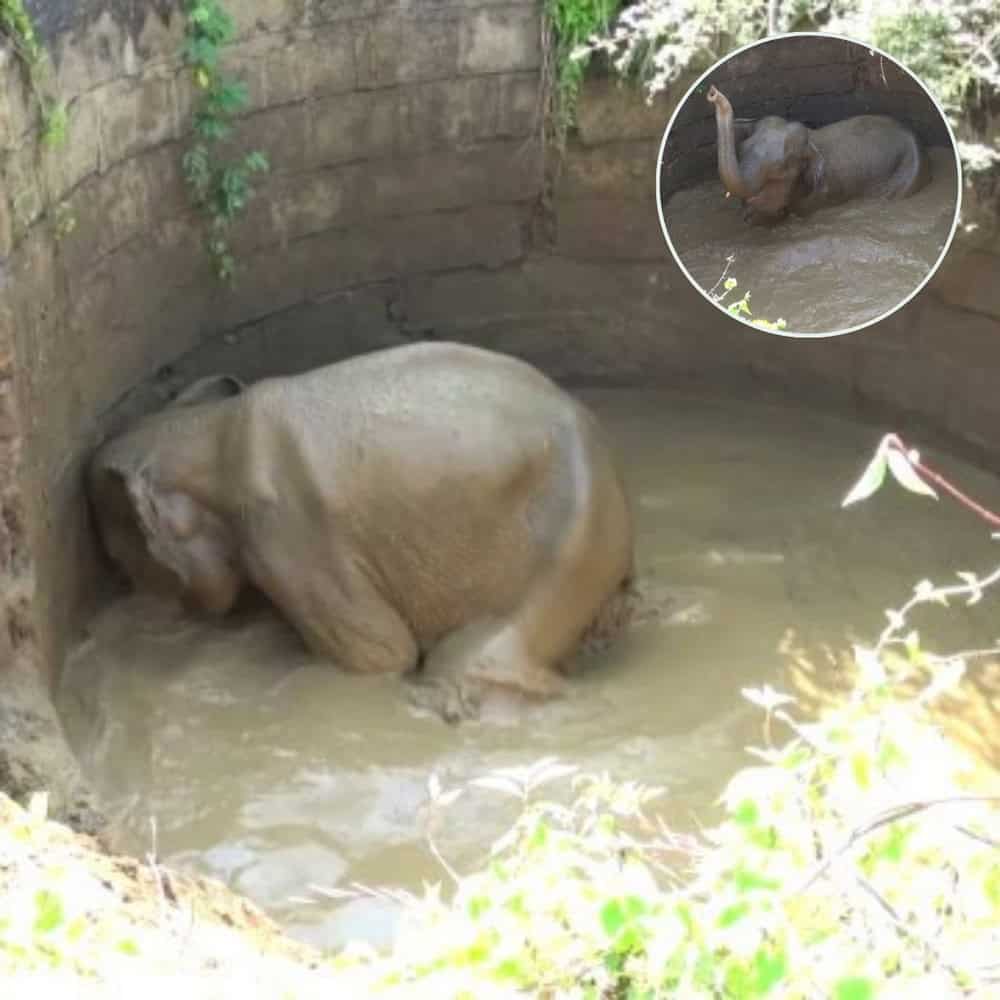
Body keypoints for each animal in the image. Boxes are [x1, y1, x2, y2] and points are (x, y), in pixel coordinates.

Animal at [86, 342, 636, 721]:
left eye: (121, 565)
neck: (217, 429)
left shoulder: (287, 536)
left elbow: (382, 655)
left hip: (570, 542)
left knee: (474, 662)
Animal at [706, 85, 931, 224]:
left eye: (780, 168)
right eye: (742, 148)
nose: (713, 93)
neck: (812, 142)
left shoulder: (820, 196)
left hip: (907, 175)